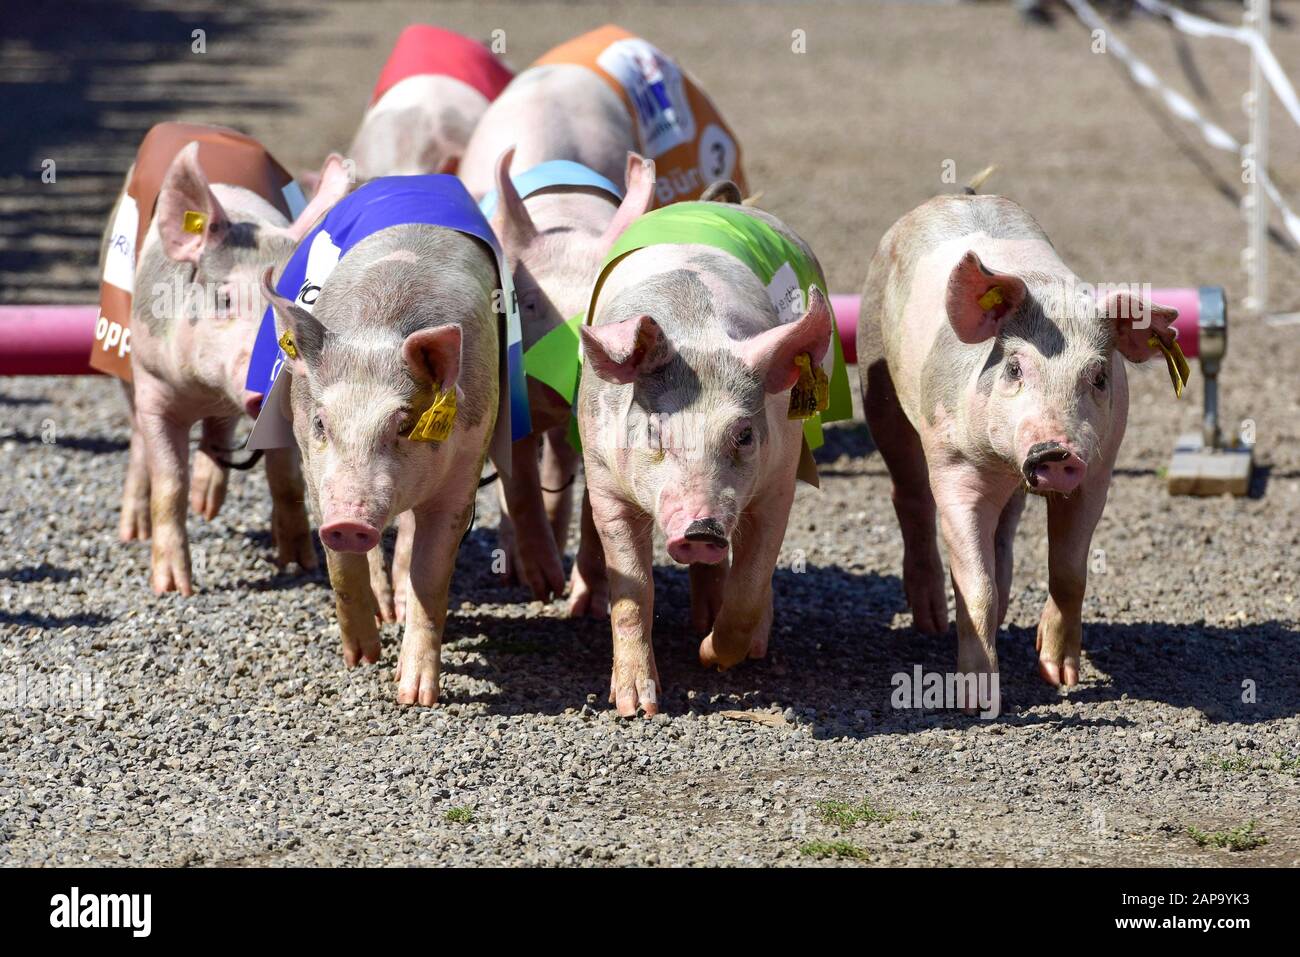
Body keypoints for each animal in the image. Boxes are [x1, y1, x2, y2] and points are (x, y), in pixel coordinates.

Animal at [119, 143, 351, 594]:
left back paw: (207, 505)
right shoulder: (154, 381)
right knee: (139, 440)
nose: (264, 385)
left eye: (302, 301)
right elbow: (169, 482)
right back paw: (133, 533)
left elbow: (287, 479)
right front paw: (174, 588)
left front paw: (300, 565)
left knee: (218, 433)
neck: (204, 387)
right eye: (225, 299)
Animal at [262, 223, 499, 706]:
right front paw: (361, 660)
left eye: (404, 424)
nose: (348, 522)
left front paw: (414, 696)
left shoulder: (467, 463)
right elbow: (339, 567)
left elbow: (431, 576)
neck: (378, 328)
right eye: (321, 421)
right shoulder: (317, 473)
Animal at [576, 201, 833, 716]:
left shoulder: (778, 482)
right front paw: (637, 706)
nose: (701, 531)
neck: (697, 336)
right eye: (655, 431)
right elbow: (633, 588)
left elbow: (750, 584)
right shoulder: (603, 479)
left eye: (745, 434)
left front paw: (710, 656)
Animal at [857, 192, 1181, 698]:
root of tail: (955, 195)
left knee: (1003, 541)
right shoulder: (954, 467)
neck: (1007, 463)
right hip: (877, 380)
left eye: (1098, 376)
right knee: (908, 494)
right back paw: (930, 624)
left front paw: (1059, 677)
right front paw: (976, 699)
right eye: (1013, 368)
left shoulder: (1097, 471)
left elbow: (1069, 573)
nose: (1055, 451)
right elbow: (976, 585)